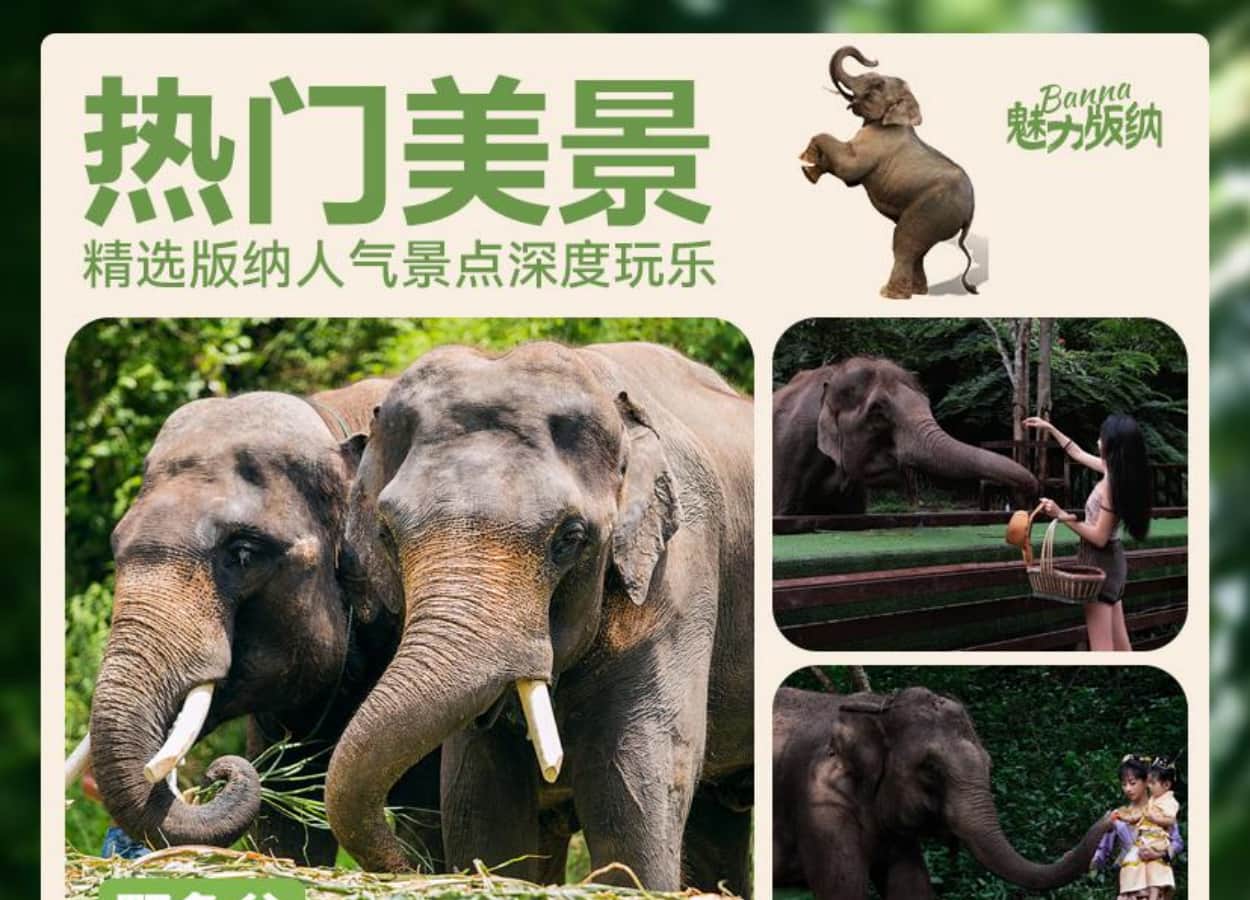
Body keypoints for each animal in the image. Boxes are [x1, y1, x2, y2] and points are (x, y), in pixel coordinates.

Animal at [323, 341, 754, 894]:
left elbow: (634, 779)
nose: (411, 867)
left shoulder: (680, 574)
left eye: (570, 537)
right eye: (386, 534)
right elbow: (477, 793)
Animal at [773, 686, 1113, 899]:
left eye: (989, 764)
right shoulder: (818, 802)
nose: (1109, 815)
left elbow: (913, 891)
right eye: (931, 769)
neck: (879, 706)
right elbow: (843, 892)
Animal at [799, 47, 978, 298]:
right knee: (918, 250)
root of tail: (970, 214)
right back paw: (918, 292)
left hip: (933, 209)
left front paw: (805, 159)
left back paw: (890, 294)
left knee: (904, 240)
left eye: (876, 86)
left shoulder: (877, 142)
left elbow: (849, 169)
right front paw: (809, 171)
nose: (873, 59)